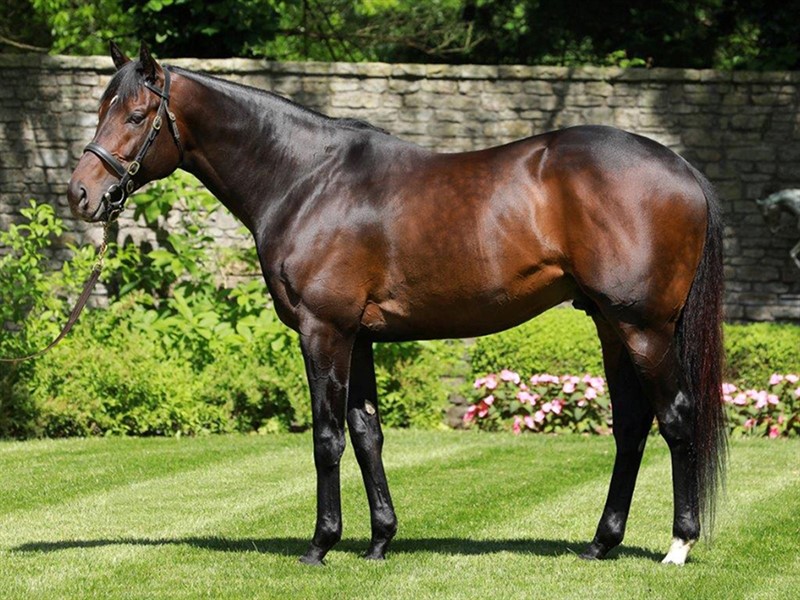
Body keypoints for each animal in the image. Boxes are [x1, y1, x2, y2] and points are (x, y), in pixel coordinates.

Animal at [67, 42, 726, 566]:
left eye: (136, 114)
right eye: (101, 109)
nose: (81, 194)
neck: (306, 179)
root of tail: (683, 169)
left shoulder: (323, 330)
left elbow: (328, 437)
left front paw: (321, 544)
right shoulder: (358, 336)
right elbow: (367, 433)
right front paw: (380, 539)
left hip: (644, 328)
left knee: (675, 418)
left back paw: (678, 545)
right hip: (612, 326)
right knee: (632, 426)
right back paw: (601, 542)